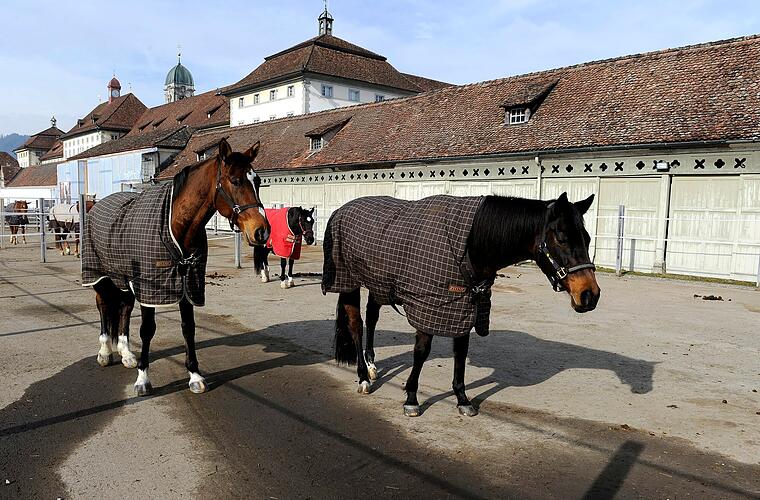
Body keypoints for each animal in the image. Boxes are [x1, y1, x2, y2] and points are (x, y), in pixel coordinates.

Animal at [82, 138, 270, 396]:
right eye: (235, 180)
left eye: (258, 181)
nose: (262, 231)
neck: (174, 225)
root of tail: (96, 205)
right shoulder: (152, 287)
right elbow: (147, 330)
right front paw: (143, 379)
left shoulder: (187, 284)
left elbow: (188, 328)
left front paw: (195, 376)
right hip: (100, 276)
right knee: (103, 306)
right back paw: (105, 352)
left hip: (125, 280)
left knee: (124, 308)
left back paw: (126, 353)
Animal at [322, 192, 600, 417]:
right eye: (562, 238)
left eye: (587, 238)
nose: (589, 295)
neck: (469, 244)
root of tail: (341, 210)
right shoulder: (430, 305)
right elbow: (421, 352)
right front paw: (411, 399)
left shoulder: (464, 306)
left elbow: (461, 353)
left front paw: (462, 399)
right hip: (348, 281)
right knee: (356, 325)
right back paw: (362, 377)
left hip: (377, 282)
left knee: (371, 317)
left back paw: (371, 367)